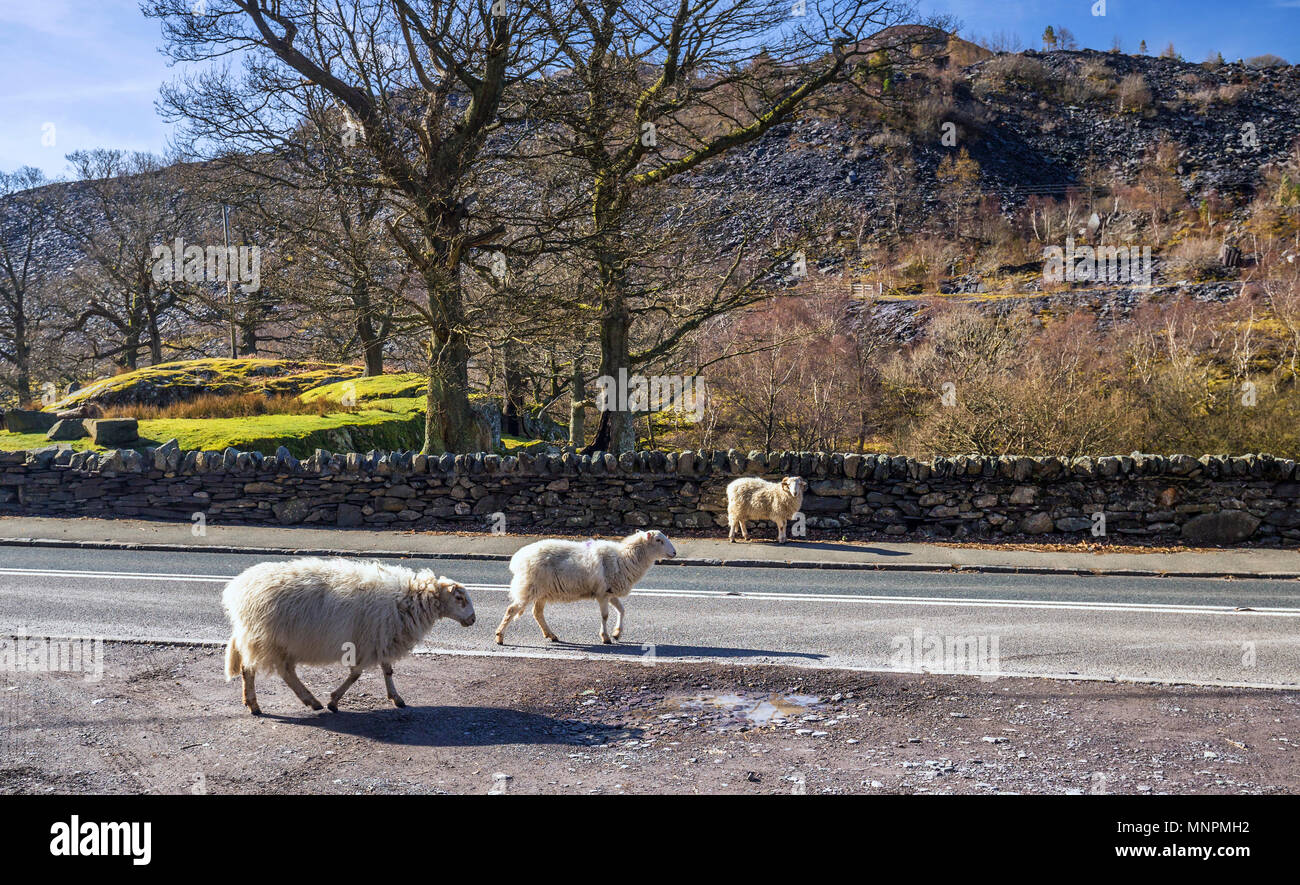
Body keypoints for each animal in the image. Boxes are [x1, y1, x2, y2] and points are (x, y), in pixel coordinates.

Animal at [222, 557, 475, 715]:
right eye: (459, 598)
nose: (473, 619)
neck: (409, 600)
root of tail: (239, 588)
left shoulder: (381, 637)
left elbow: (387, 670)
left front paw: (396, 698)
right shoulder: (368, 640)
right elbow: (356, 674)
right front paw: (334, 701)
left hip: (278, 642)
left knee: (285, 671)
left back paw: (309, 701)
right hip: (265, 638)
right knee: (251, 669)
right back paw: (256, 705)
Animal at [495, 530, 677, 646]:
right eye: (659, 540)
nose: (674, 553)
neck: (625, 558)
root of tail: (517, 559)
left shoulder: (610, 592)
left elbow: (622, 610)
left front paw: (617, 633)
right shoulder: (603, 593)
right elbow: (605, 616)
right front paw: (605, 637)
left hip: (542, 591)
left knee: (537, 613)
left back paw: (551, 635)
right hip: (529, 587)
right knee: (512, 610)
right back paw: (499, 637)